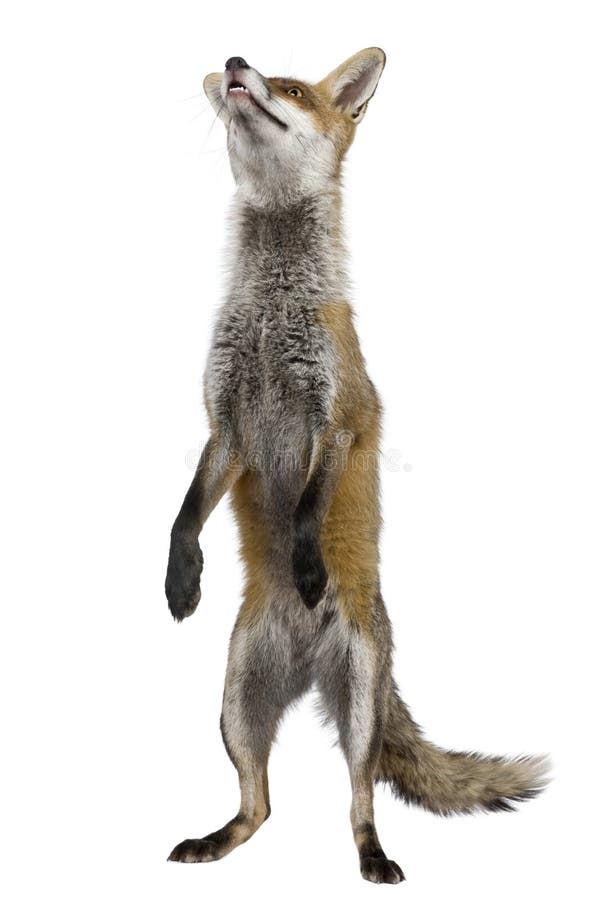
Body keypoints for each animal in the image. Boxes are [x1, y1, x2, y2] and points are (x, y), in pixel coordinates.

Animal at [165, 48, 549, 885]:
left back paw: (376, 859)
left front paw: (308, 563)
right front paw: (181, 580)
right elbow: (183, 514)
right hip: (237, 705)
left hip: (362, 709)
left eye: (292, 90)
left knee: (359, 803)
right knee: (259, 807)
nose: (233, 62)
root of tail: (311, 669)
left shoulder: (334, 419)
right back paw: (215, 840)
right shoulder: (225, 427)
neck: (271, 313)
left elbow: (310, 503)